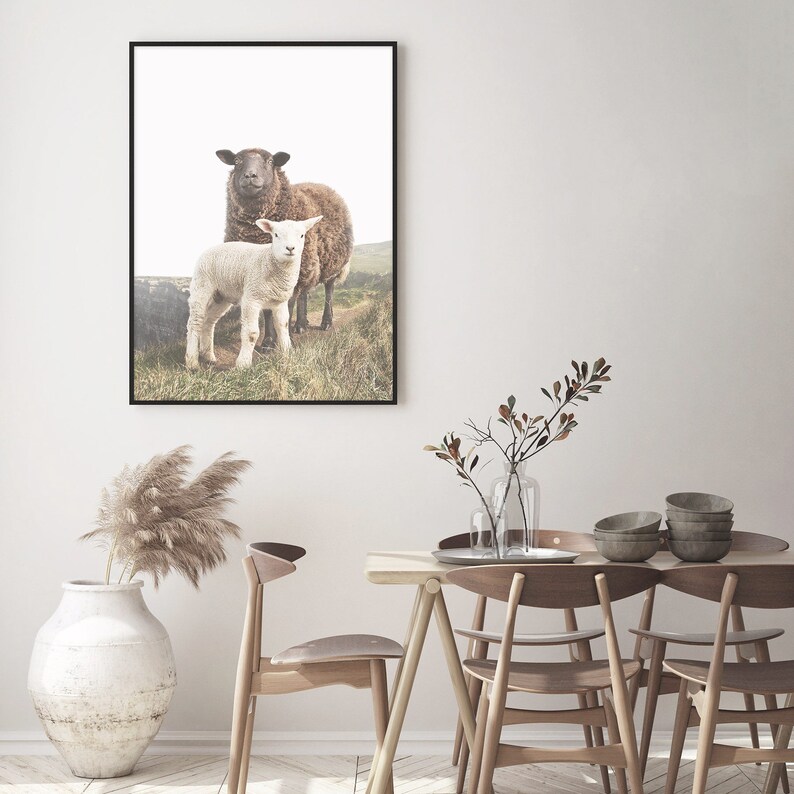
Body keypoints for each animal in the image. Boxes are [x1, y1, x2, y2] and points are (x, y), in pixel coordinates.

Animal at [185, 216, 322, 370]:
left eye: (302, 235)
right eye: (276, 235)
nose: (290, 248)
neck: (269, 260)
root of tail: (209, 249)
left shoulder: (280, 302)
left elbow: (283, 326)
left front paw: (287, 354)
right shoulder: (252, 298)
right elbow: (251, 333)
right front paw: (243, 364)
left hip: (221, 296)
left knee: (209, 322)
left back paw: (208, 356)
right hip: (201, 286)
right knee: (195, 322)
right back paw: (192, 362)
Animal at [215, 147, 353, 345]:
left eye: (270, 161)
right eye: (236, 160)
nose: (250, 175)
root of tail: (323, 186)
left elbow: (286, 308)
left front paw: (283, 342)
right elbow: (268, 311)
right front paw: (268, 342)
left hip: (331, 263)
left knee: (329, 290)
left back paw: (325, 322)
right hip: (308, 264)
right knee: (304, 294)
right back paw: (301, 325)